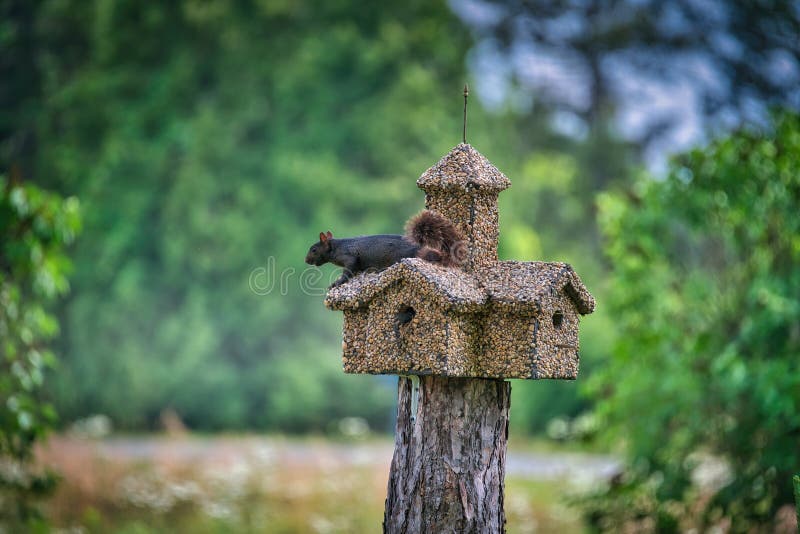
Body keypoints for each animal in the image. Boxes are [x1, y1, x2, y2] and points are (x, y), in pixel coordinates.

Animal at [305, 210, 464, 288]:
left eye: (314, 250)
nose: (306, 260)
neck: (337, 247)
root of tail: (421, 247)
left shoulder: (349, 256)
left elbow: (349, 270)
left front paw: (337, 283)